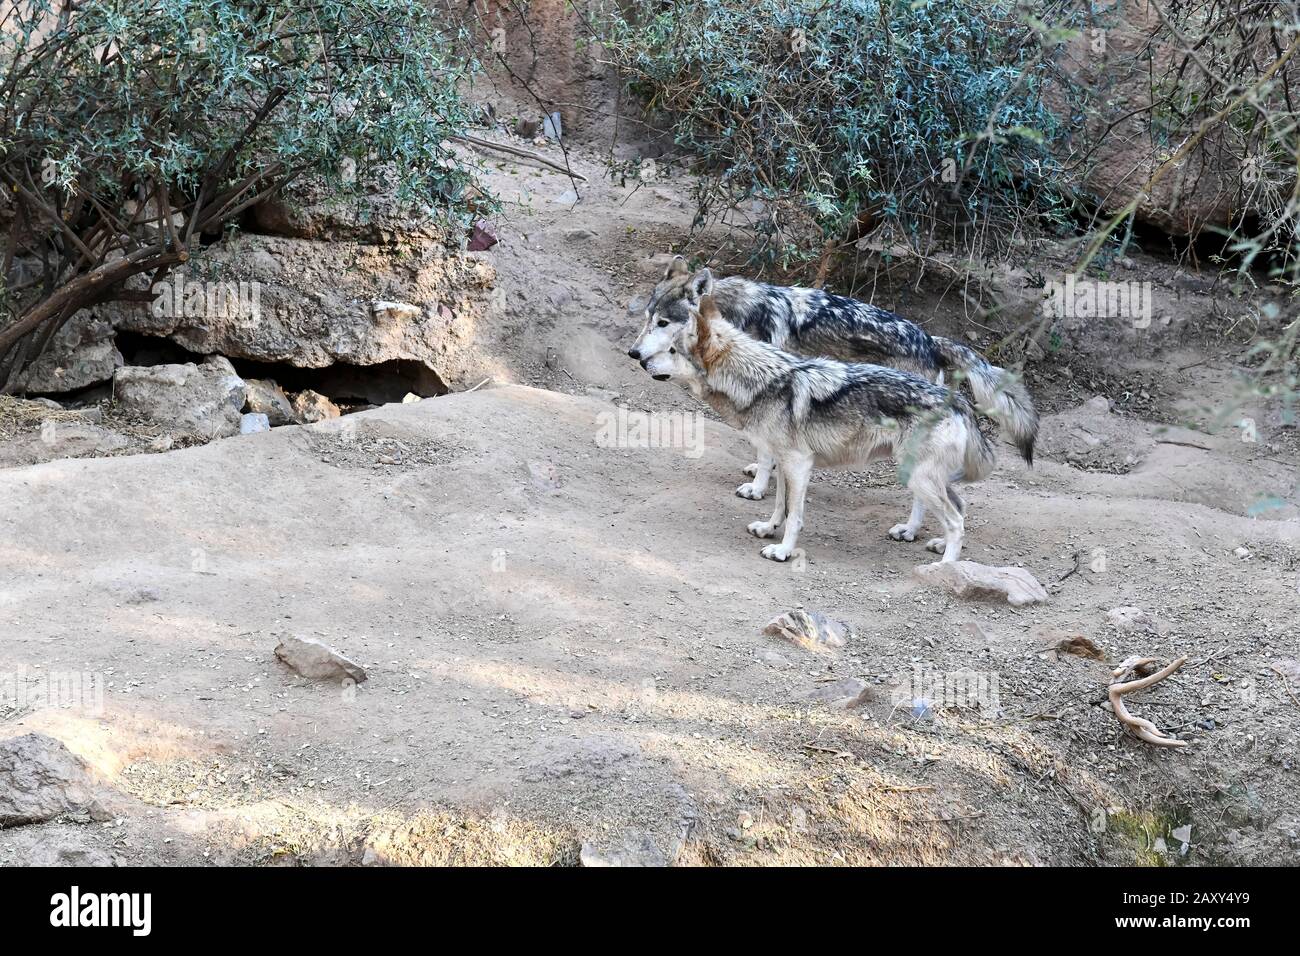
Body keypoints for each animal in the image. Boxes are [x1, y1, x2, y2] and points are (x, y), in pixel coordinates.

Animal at [627, 256, 1037, 499]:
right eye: (647, 318)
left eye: (664, 323)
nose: (633, 354)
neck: (736, 317)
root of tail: (930, 340)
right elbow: (765, 451)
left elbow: (765, 452)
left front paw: (758, 488)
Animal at [641, 295, 1010, 563]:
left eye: (672, 349)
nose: (640, 359)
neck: (762, 382)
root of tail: (959, 402)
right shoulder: (783, 463)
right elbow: (780, 505)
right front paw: (768, 529)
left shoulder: (799, 464)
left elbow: (795, 515)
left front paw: (783, 551)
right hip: (916, 474)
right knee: (959, 507)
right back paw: (917, 535)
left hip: (919, 477)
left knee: (956, 520)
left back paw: (944, 568)